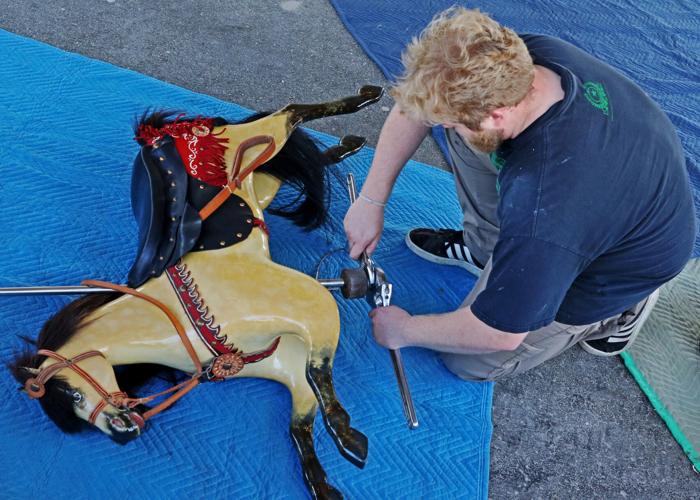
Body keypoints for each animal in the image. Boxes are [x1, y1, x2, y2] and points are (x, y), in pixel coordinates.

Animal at [9, 86, 383, 500]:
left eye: (73, 396)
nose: (123, 434)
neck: (177, 321)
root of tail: (156, 135)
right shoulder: (289, 365)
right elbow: (300, 423)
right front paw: (323, 483)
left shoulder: (312, 304)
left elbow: (320, 374)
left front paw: (348, 438)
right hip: (257, 182)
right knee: (285, 161)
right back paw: (346, 146)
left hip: (250, 141)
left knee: (289, 114)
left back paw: (368, 97)